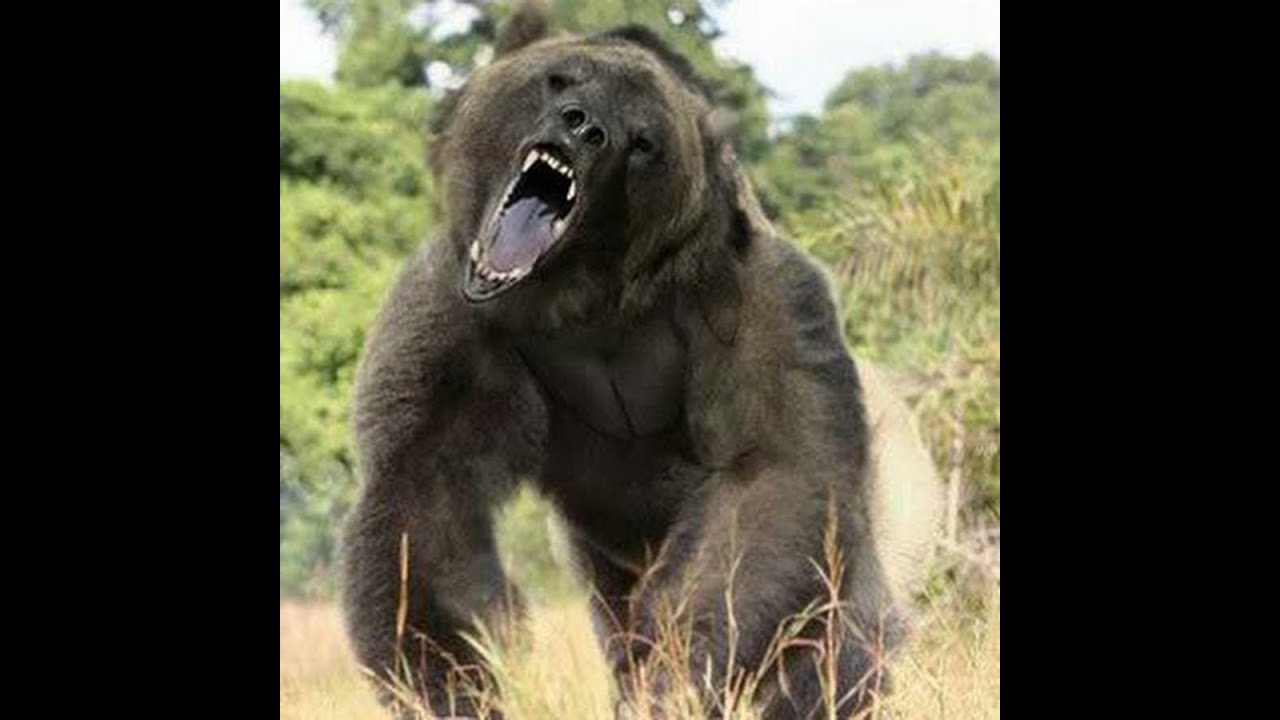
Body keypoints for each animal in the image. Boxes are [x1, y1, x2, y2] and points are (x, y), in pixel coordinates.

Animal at [338, 4, 941, 718]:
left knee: (843, 614)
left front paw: (680, 676)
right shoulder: (455, 311)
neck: (591, 288)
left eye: (641, 139)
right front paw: (453, 680)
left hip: (900, 485)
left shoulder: (764, 299)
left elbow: (769, 478)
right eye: (559, 78)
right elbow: (430, 494)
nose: (582, 126)